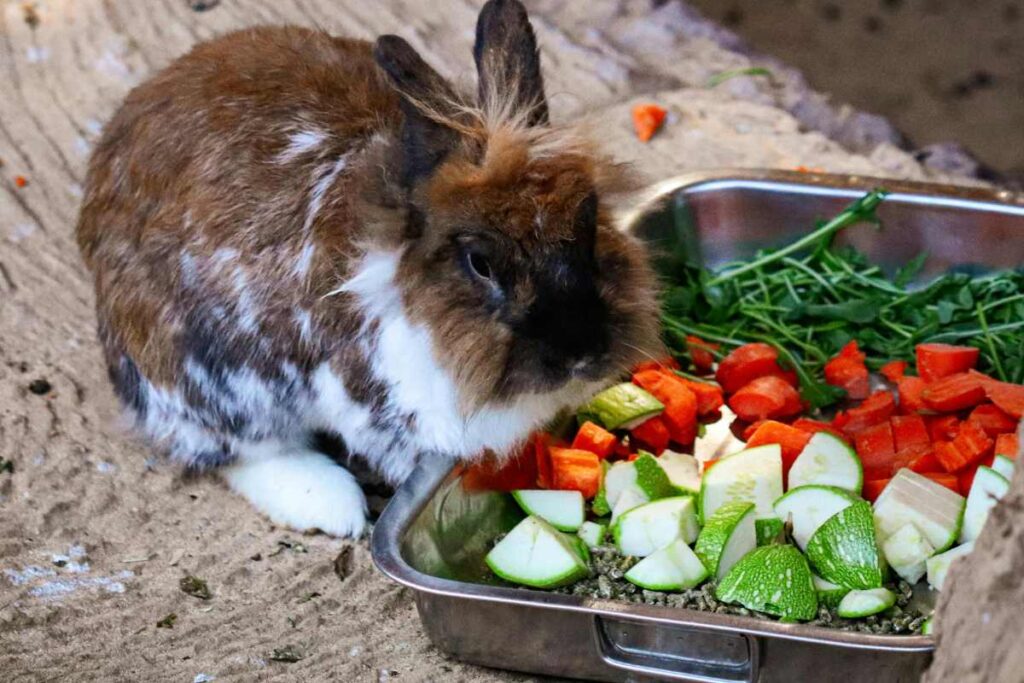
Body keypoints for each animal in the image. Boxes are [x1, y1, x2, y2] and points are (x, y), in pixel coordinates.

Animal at [75, 0, 660, 537]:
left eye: (589, 221)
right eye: (481, 262)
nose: (581, 353)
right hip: (207, 378)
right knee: (236, 450)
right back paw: (334, 507)